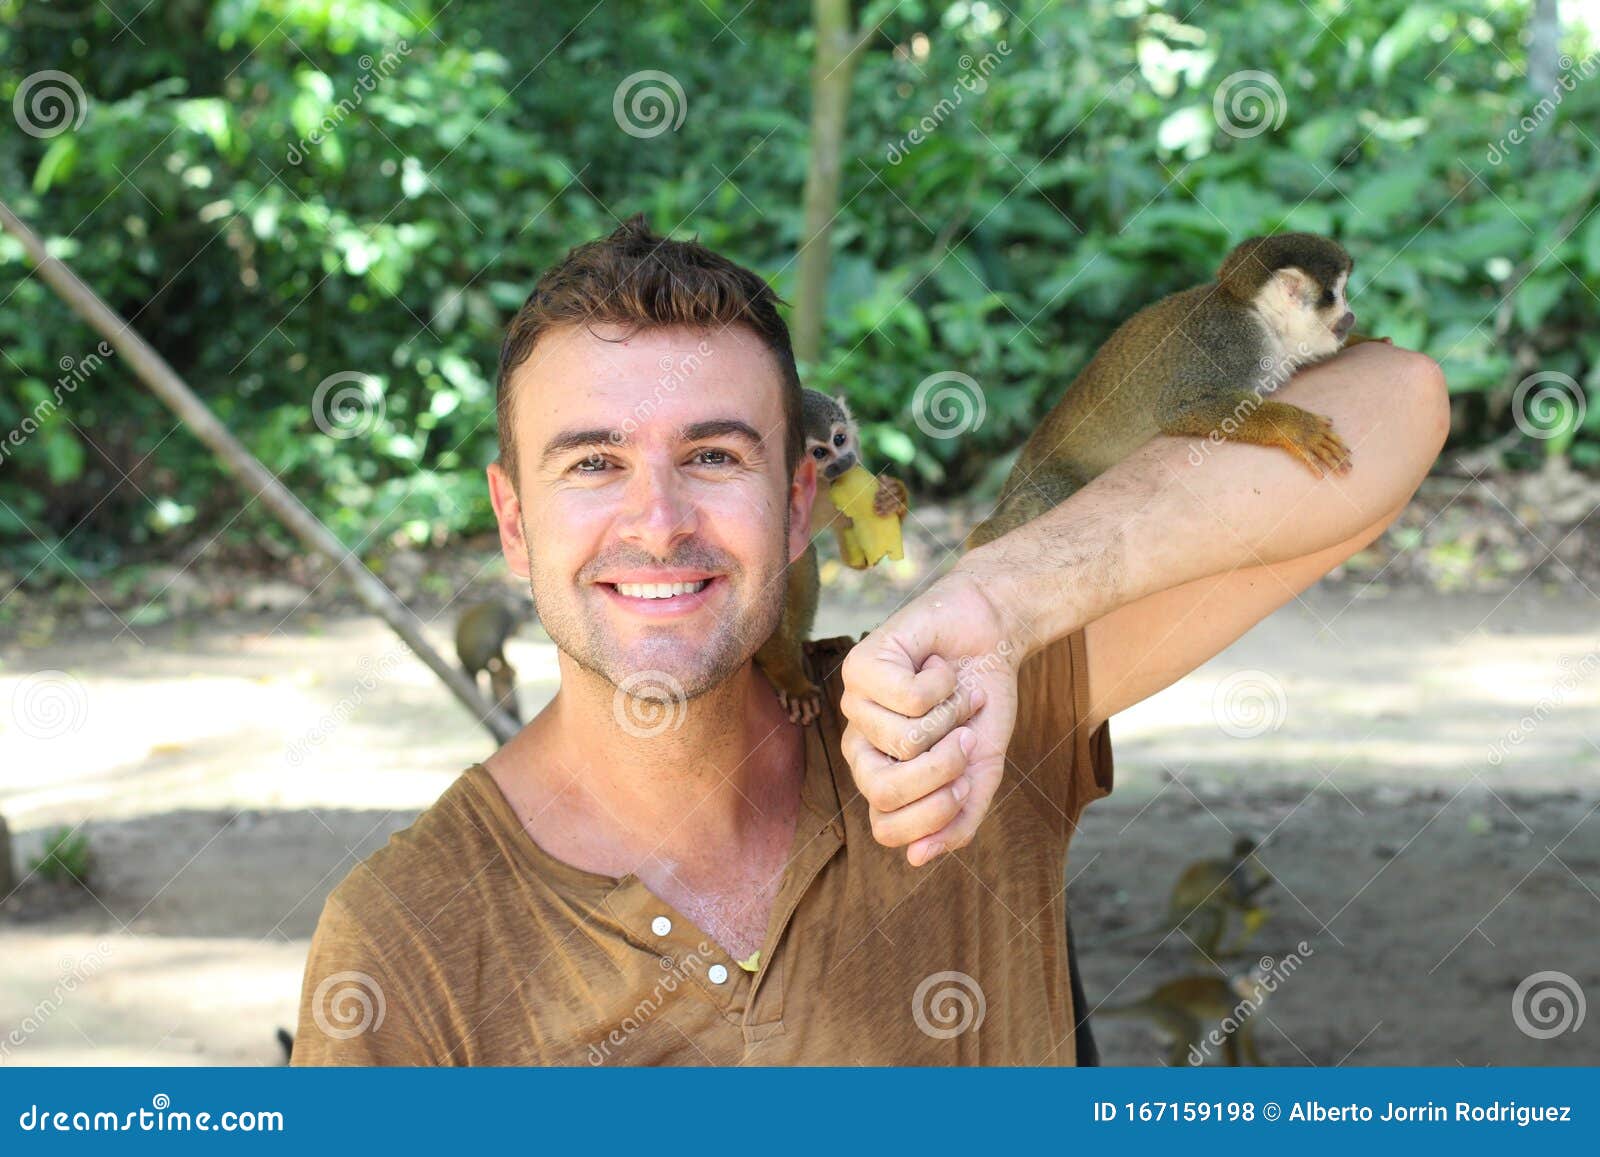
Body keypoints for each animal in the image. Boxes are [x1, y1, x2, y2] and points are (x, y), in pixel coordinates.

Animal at [754, 389, 908, 726]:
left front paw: (894, 497)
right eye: (820, 453)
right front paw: (792, 683)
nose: (846, 461)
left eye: (840, 438)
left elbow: (861, 560)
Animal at [966, 232, 1388, 550]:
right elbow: (1178, 407)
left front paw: (1363, 341)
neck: (1261, 319)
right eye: (1336, 295)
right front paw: (1295, 427)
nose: (1350, 317)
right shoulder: (1232, 341)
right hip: (1045, 479)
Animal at [1099, 972, 1269, 1066]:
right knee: (1193, 1029)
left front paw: (1261, 1064)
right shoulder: (1237, 1006)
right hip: (1169, 1011)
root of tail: (1153, 997)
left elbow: (1246, 1038)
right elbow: (1230, 1035)